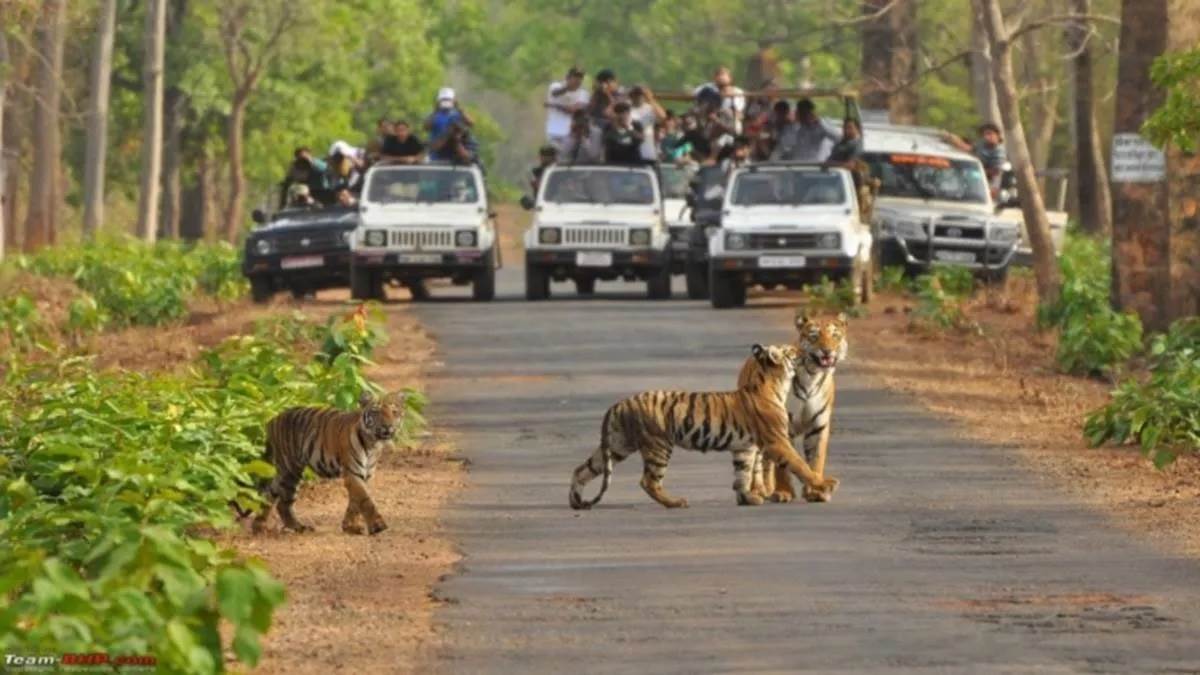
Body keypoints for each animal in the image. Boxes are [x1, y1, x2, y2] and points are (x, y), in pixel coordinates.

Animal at [234, 391, 405, 535]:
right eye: (376, 412)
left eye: (394, 412)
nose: (388, 427)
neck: (373, 443)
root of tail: (272, 420)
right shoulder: (352, 473)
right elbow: (364, 499)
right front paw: (377, 526)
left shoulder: (365, 474)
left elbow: (355, 502)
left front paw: (350, 526)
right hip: (288, 469)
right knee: (279, 500)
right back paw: (283, 527)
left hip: (286, 472)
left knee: (273, 497)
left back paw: (268, 526)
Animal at [569, 343, 840, 510]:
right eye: (790, 350)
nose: (803, 349)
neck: (774, 383)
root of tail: (619, 403)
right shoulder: (777, 441)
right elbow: (800, 464)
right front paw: (825, 484)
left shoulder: (745, 447)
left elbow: (742, 473)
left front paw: (747, 498)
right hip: (658, 445)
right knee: (649, 481)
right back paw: (675, 502)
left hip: (617, 445)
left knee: (582, 469)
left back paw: (576, 501)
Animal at [759, 312, 847, 504]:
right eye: (814, 336)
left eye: (835, 336)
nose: (827, 350)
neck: (812, 376)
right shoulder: (781, 427)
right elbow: (782, 464)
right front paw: (783, 492)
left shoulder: (819, 426)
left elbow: (816, 459)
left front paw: (815, 491)